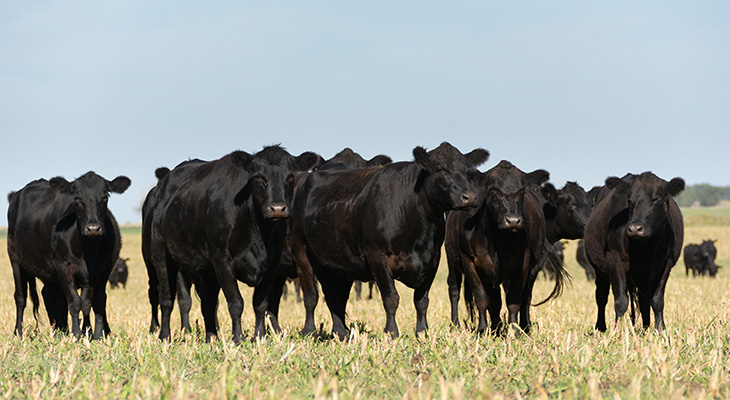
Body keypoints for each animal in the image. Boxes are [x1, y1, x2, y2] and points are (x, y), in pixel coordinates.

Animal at [7, 172, 131, 339]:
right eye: (77, 198)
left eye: (105, 197)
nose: (93, 228)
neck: (88, 250)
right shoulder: (63, 267)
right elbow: (75, 302)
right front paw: (77, 334)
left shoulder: (103, 271)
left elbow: (93, 302)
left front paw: (94, 334)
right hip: (15, 258)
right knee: (20, 297)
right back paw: (18, 332)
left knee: (50, 295)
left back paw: (59, 331)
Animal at [146, 146, 319, 342]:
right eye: (258, 177)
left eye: (290, 177)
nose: (277, 209)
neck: (258, 231)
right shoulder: (222, 260)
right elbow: (236, 303)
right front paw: (237, 338)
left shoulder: (272, 264)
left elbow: (260, 303)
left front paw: (259, 336)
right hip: (162, 255)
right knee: (166, 299)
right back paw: (164, 336)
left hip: (205, 270)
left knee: (208, 303)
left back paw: (210, 337)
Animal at [291, 142, 489, 340]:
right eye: (440, 169)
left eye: (467, 171)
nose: (469, 197)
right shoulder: (377, 256)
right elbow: (391, 298)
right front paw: (392, 332)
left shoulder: (433, 259)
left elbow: (421, 300)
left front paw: (422, 332)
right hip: (301, 250)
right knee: (311, 295)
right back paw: (309, 331)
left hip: (336, 262)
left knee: (335, 296)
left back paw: (341, 333)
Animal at [445, 161, 567, 334]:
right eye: (493, 190)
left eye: (522, 190)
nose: (513, 220)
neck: (496, 240)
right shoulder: (468, 260)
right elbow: (481, 297)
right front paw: (482, 330)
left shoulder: (522, 263)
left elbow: (513, 299)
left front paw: (514, 331)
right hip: (452, 259)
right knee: (454, 290)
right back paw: (456, 325)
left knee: (521, 297)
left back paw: (516, 327)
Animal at [584, 172, 684, 331]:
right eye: (630, 201)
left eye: (656, 200)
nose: (635, 228)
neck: (644, 249)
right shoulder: (615, 261)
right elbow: (620, 301)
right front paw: (617, 331)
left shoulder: (666, 264)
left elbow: (657, 301)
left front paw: (660, 329)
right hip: (599, 270)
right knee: (601, 296)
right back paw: (601, 327)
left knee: (644, 300)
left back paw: (646, 327)